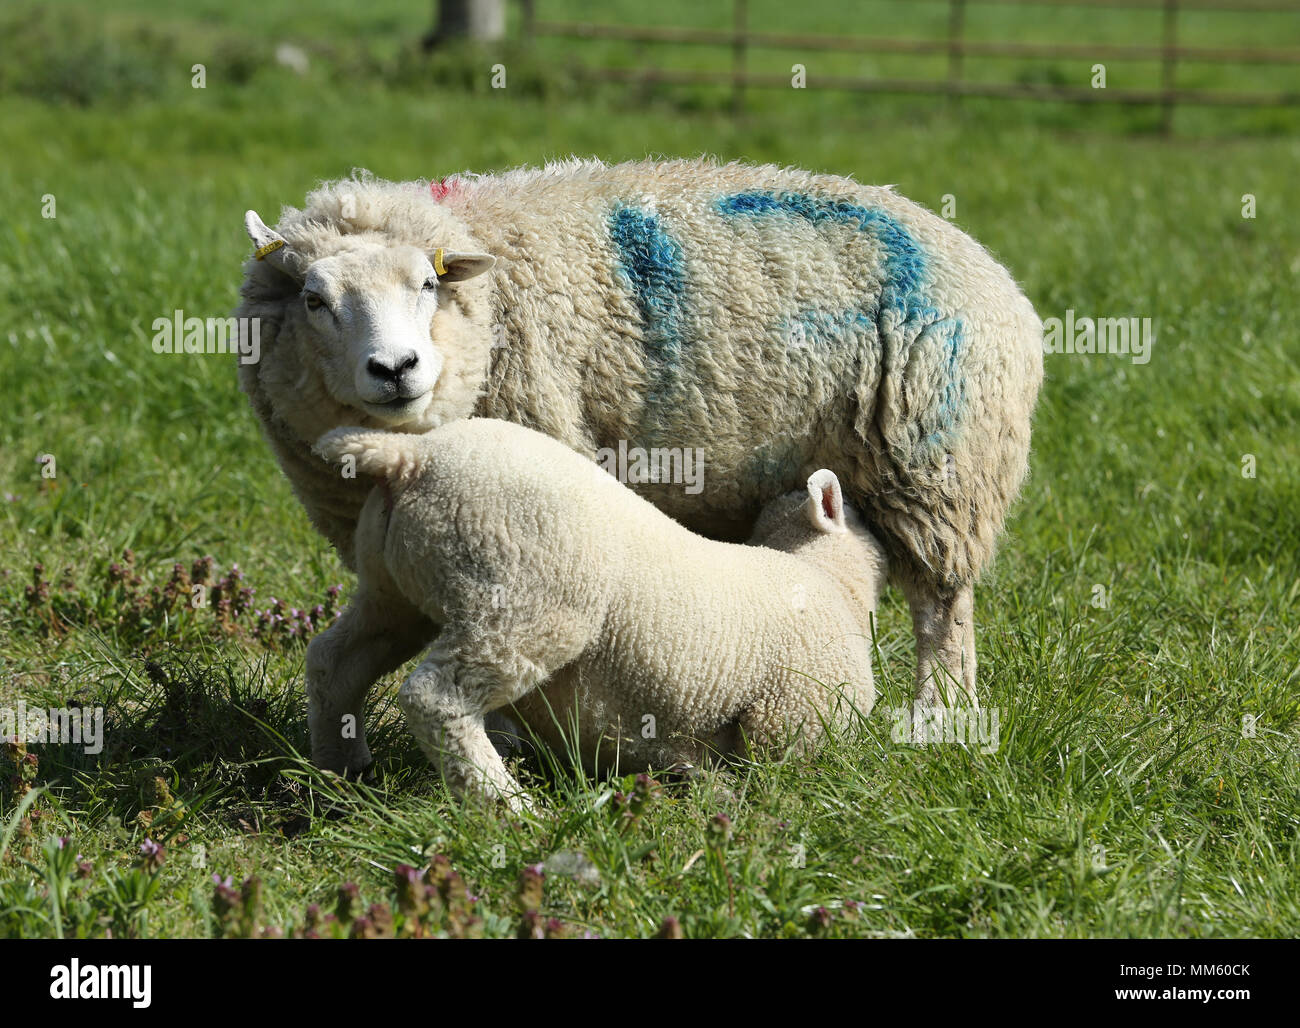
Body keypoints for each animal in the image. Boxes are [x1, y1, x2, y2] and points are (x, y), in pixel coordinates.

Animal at [236, 158, 1042, 746]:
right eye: (312, 299)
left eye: (429, 283)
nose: (396, 368)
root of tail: (994, 272)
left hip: (939, 471)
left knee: (943, 610)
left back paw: (940, 723)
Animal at [311, 418, 887, 808]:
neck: (826, 579)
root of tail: (412, 454)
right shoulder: (791, 715)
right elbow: (775, 768)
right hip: (522, 601)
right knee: (435, 697)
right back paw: (508, 807)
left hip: (391, 590)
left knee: (333, 661)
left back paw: (340, 775)